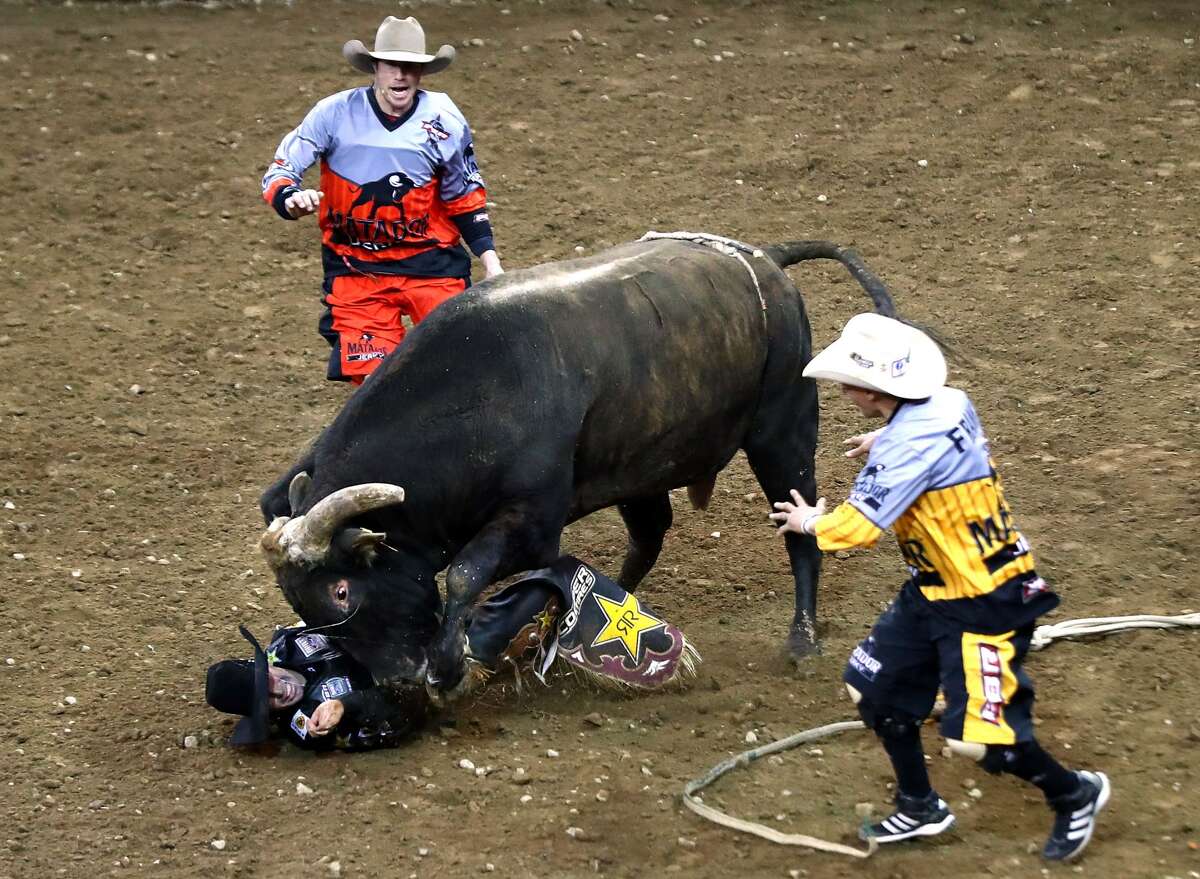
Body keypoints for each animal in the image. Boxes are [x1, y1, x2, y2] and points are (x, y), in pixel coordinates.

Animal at [258, 237, 898, 699]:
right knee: (648, 536)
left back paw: (802, 642)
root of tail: (767, 259)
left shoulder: (532, 521)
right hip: (642, 471)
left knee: (800, 527)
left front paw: (456, 661)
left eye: (341, 589)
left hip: (782, 429)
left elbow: (466, 573)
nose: (398, 680)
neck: (474, 394)